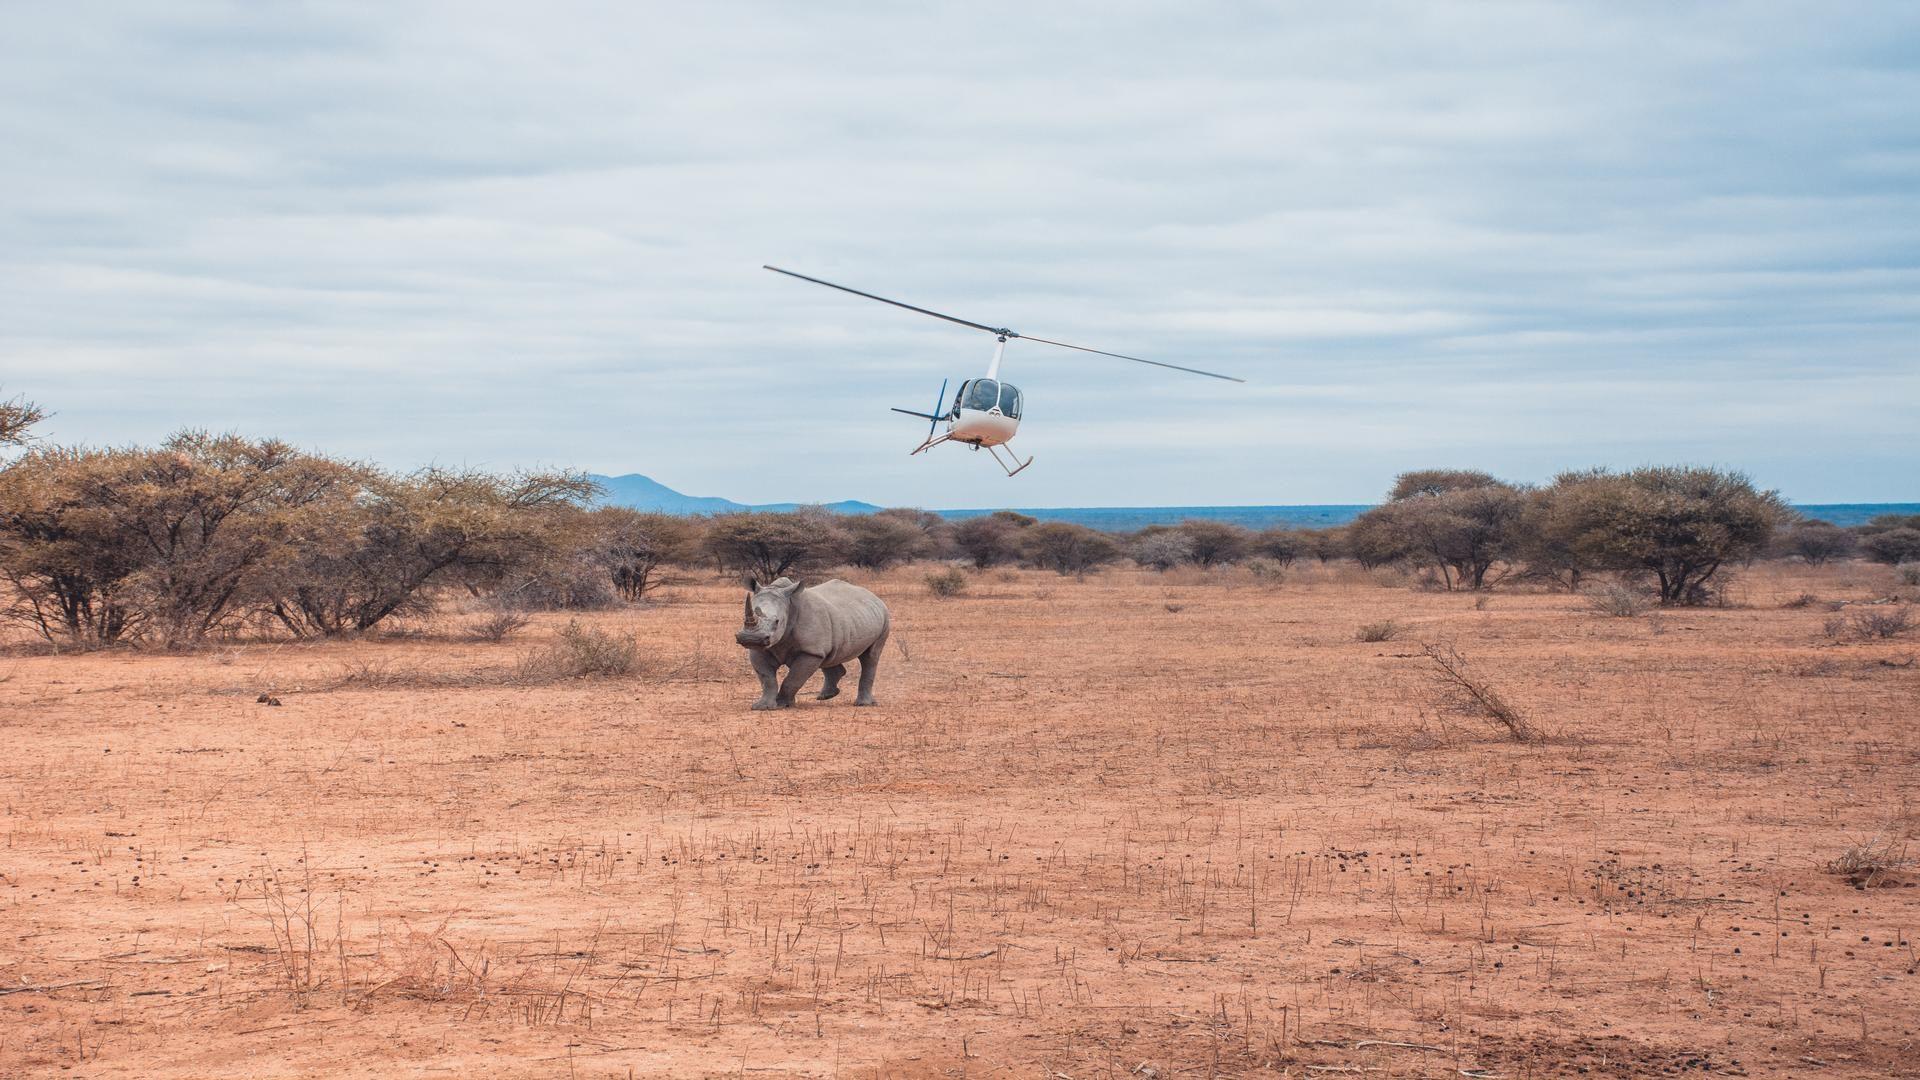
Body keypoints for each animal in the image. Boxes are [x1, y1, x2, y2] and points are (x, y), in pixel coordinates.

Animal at [734, 577, 890, 710]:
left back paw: (863, 704)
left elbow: (793, 679)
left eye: (777, 622)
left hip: (885, 618)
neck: (788, 606)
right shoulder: (759, 650)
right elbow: (767, 679)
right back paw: (826, 696)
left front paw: (783, 704)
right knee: (828, 654)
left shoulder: (809, 652)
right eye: (742, 618)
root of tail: (874, 597)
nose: (751, 639)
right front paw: (762, 706)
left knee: (871, 657)